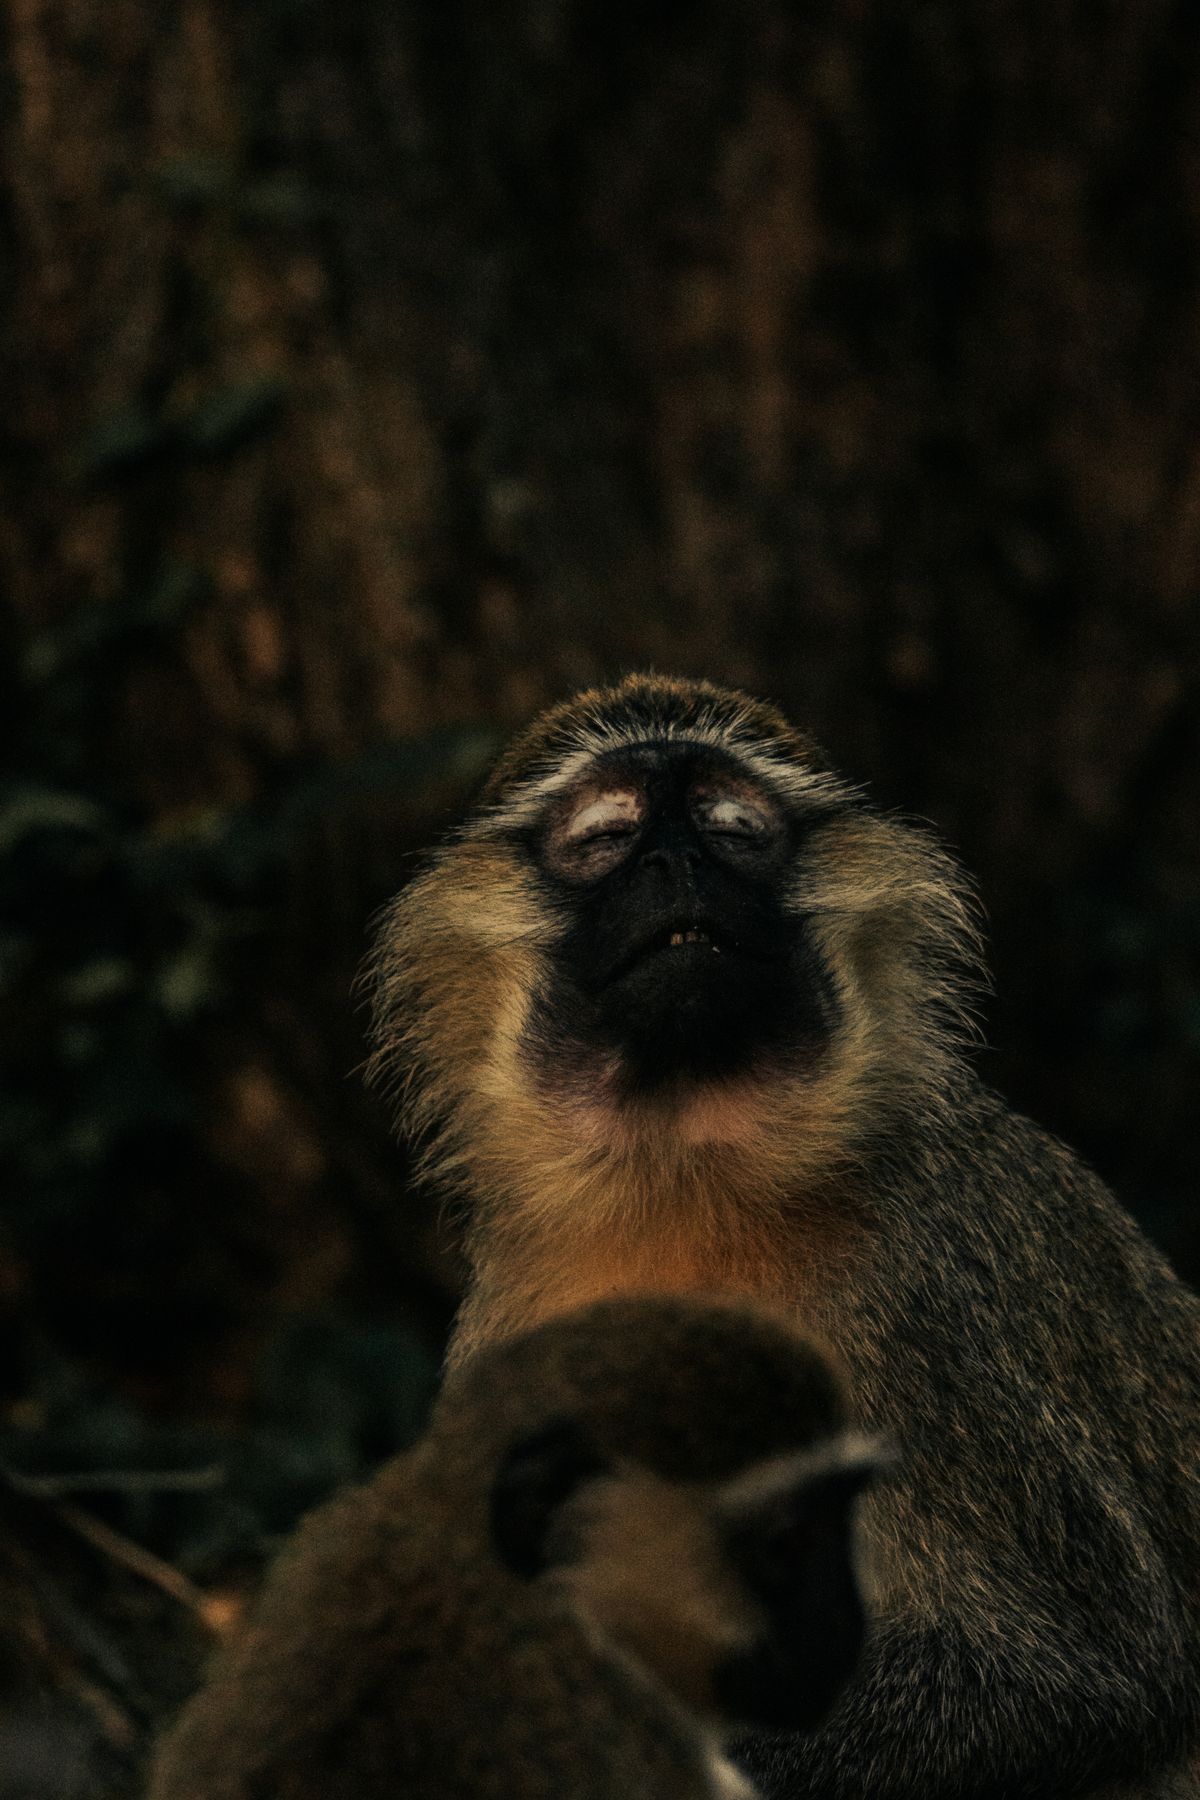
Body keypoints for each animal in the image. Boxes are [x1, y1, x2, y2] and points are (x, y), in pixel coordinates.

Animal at [367, 672, 1200, 1800]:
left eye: (733, 831)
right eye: (607, 836)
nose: (677, 864)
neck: (684, 1186)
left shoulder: (916, 1289)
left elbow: (1081, 1679)